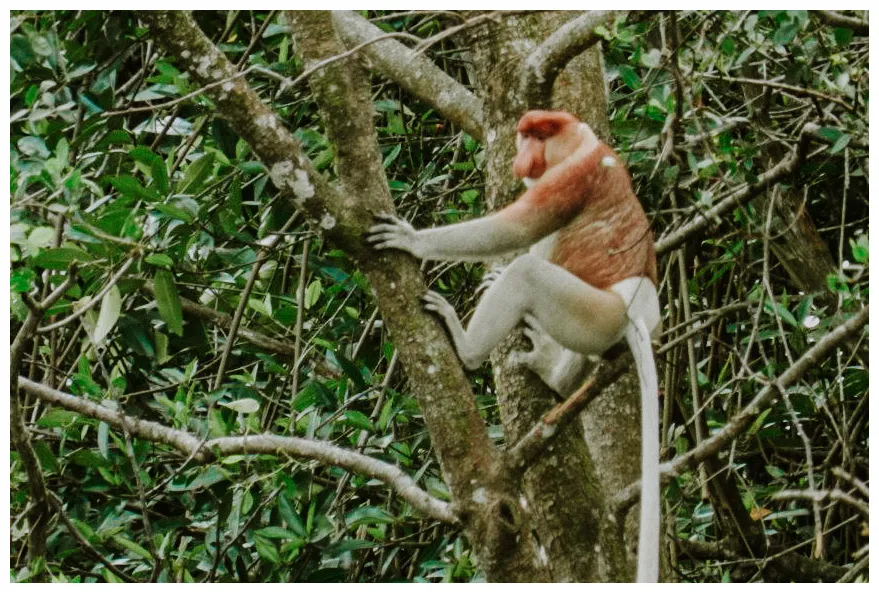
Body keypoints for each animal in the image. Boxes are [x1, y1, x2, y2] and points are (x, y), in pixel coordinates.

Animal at [368, 110, 660, 582]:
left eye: (540, 135)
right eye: (524, 135)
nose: (523, 157)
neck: (584, 145)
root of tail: (634, 308)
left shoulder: (569, 179)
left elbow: (516, 229)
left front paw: (413, 240)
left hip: (594, 313)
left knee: (528, 273)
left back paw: (469, 347)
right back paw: (559, 377)